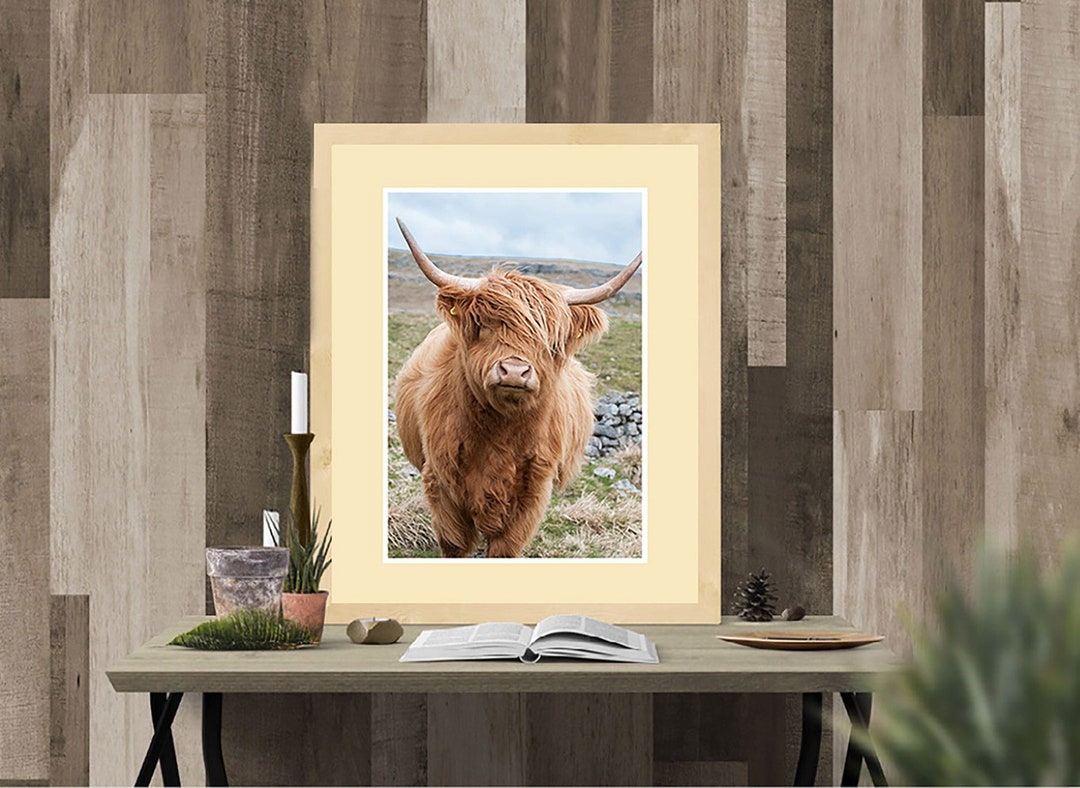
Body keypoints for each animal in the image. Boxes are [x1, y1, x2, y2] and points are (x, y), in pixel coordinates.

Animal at [393, 218, 642, 558]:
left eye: (550, 339)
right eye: (484, 324)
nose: (514, 370)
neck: (499, 434)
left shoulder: (532, 490)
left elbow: (505, 548)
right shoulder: (442, 484)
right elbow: (455, 546)